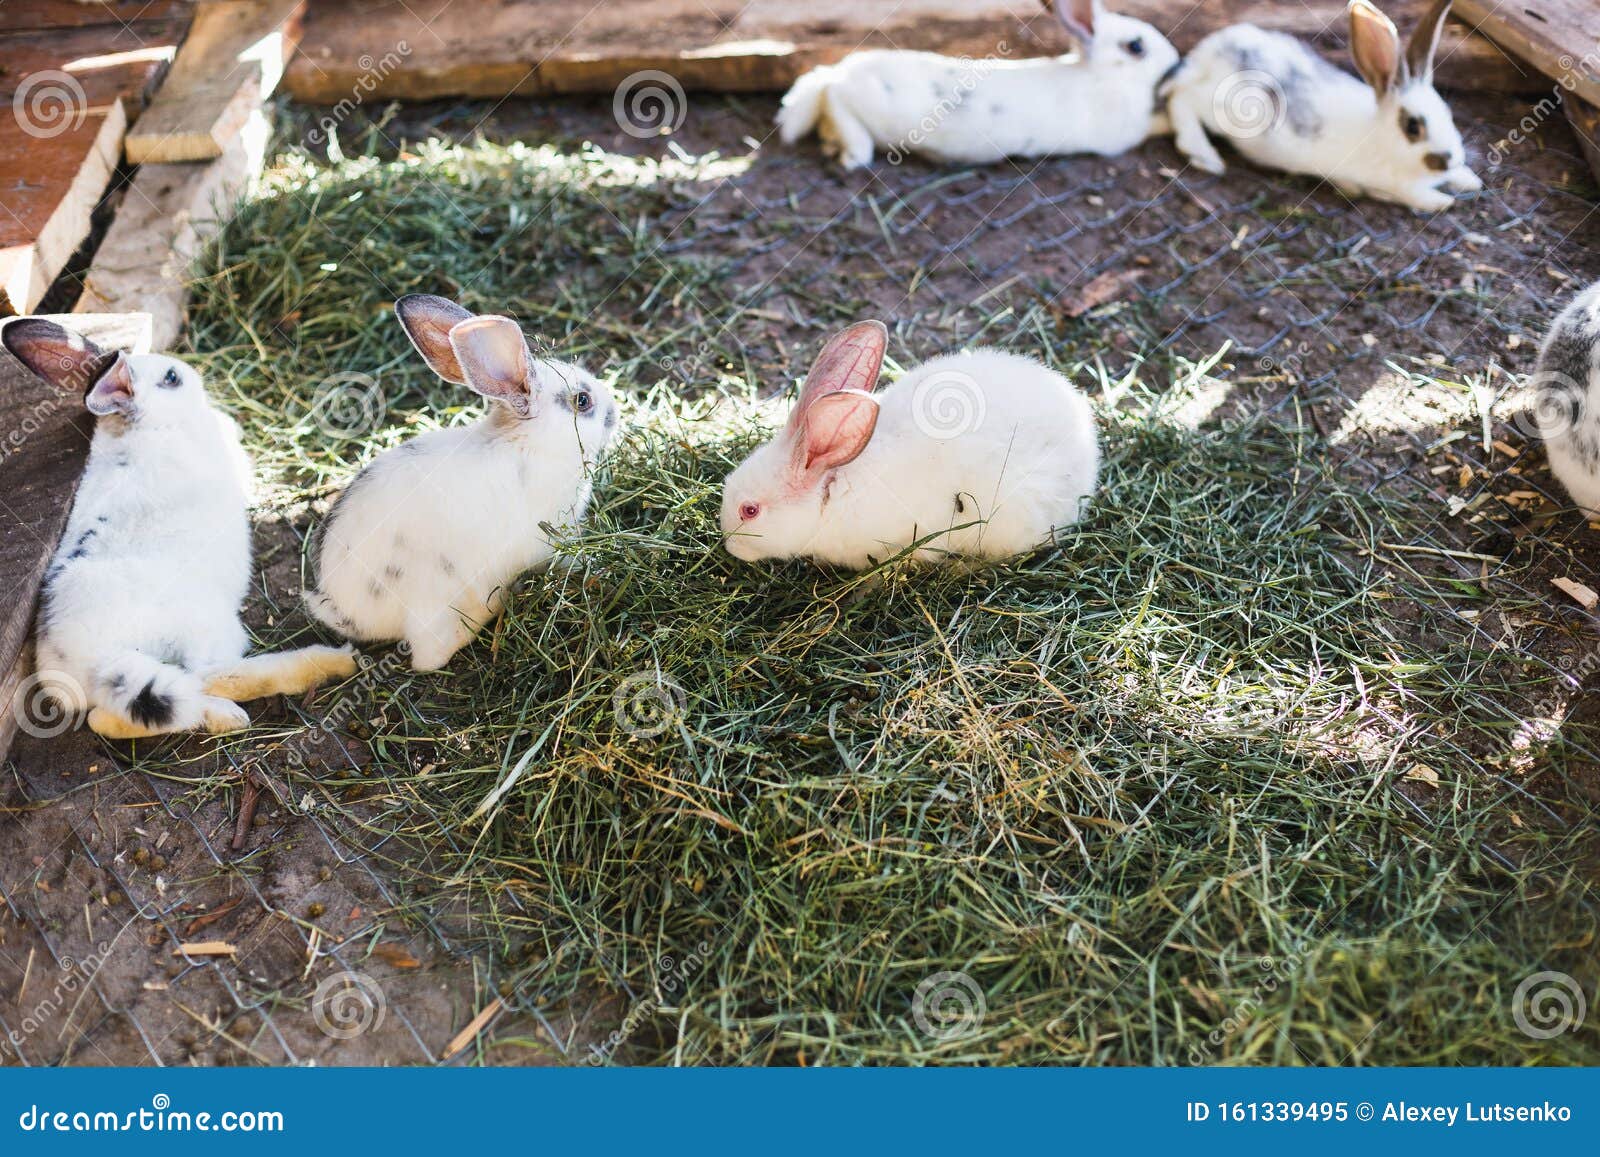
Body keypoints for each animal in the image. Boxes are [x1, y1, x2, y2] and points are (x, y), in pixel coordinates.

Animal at [1, 319, 356, 741]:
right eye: (171, 379)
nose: (194, 377)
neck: (143, 425)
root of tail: (93, 661)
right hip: (209, 624)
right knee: (214, 674)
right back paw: (326, 666)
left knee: (107, 718)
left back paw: (219, 716)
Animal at [306, 295, 620, 672]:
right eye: (582, 401)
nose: (615, 413)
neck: (528, 443)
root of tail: (342, 609)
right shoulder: (550, 539)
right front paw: (595, 568)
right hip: (434, 599)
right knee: (427, 658)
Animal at [775, 0, 1178, 170]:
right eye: (1137, 46)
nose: (1175, 63)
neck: (1102, 74)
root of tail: (839, 72)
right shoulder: (1124, 133)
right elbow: (1156, 125)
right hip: (864, 103)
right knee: (838, 101)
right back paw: (853, 155)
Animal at [1162, 0, 1482, 213]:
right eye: (1413, 127)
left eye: (1448, 113)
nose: (1447, 159)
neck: (1381, 138)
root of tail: (1210, 51)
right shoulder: (1394, 184)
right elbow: (1414, 196)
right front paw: (1443, 201)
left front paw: (1471, 180)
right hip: (1218, 108)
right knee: (1182, 97)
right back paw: (1203, 154)